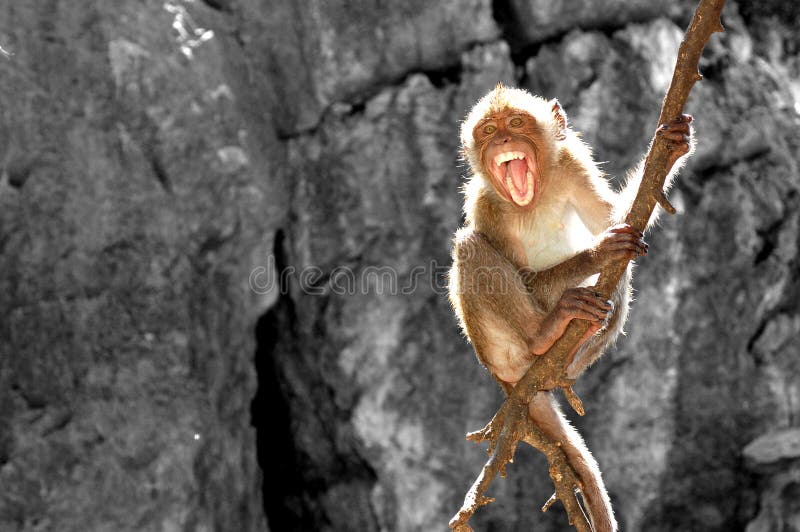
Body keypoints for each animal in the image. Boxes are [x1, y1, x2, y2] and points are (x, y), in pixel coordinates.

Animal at [448, 84, 693, 532]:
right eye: (489, 130)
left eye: (516, 123)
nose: (503, 140)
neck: (533, 197)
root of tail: (512, 381)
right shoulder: (483, 203)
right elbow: (525, 272)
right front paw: (595, 253)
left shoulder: (571, 163)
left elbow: (614, 217)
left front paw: (672, 147)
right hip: (497, 347)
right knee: (470, 245)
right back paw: (545, 332)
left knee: (621, 280)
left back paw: (575, 343)